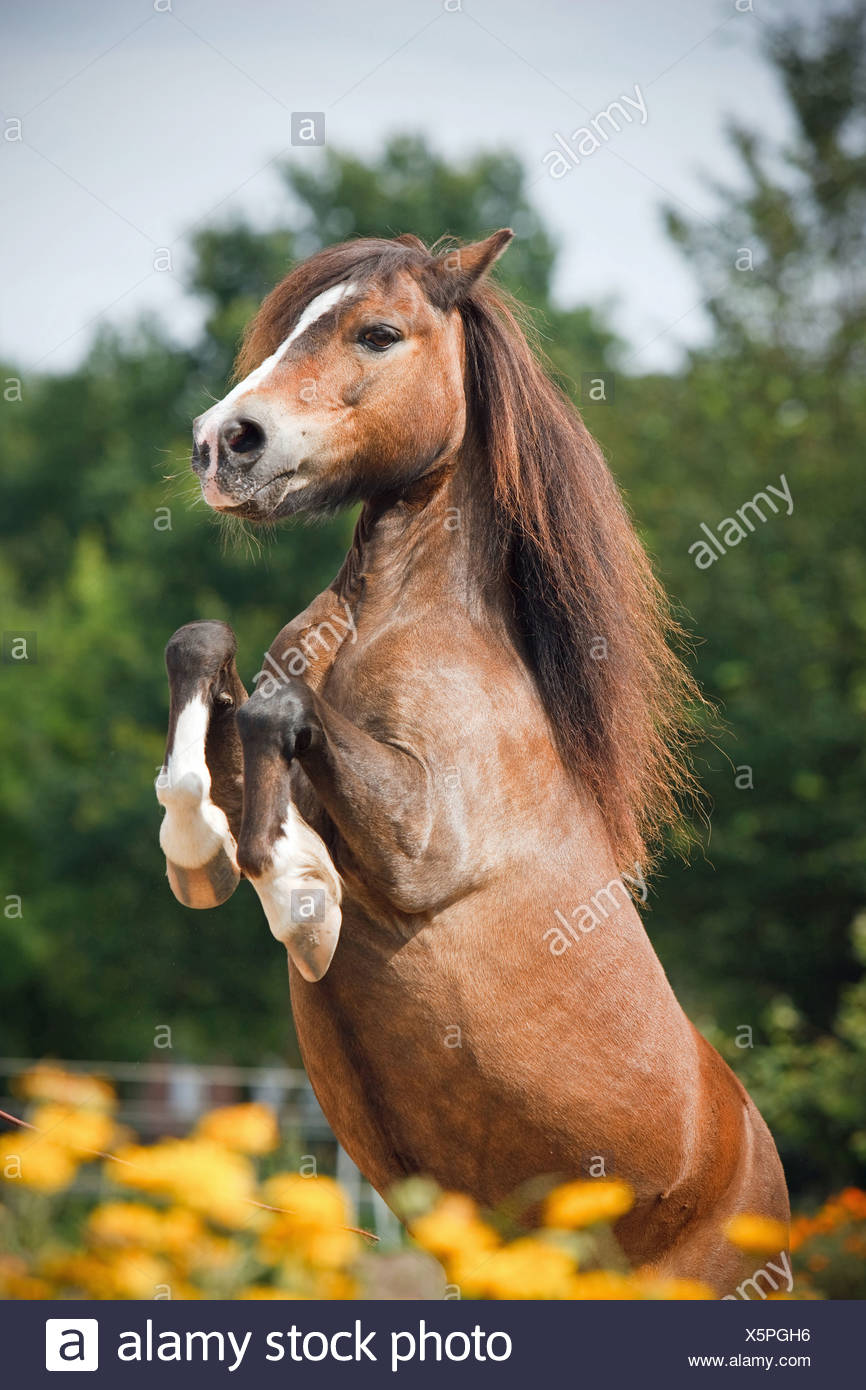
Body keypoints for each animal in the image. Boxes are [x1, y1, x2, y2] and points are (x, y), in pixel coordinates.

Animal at [155, 229, 789, 1294]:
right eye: (287, 323)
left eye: (378, 333)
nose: (223, 442)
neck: (403, 623)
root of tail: (763, 1176)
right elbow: (205, 655)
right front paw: (203, 849)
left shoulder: (422, 844)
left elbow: (286, 715)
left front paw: (304, 895)